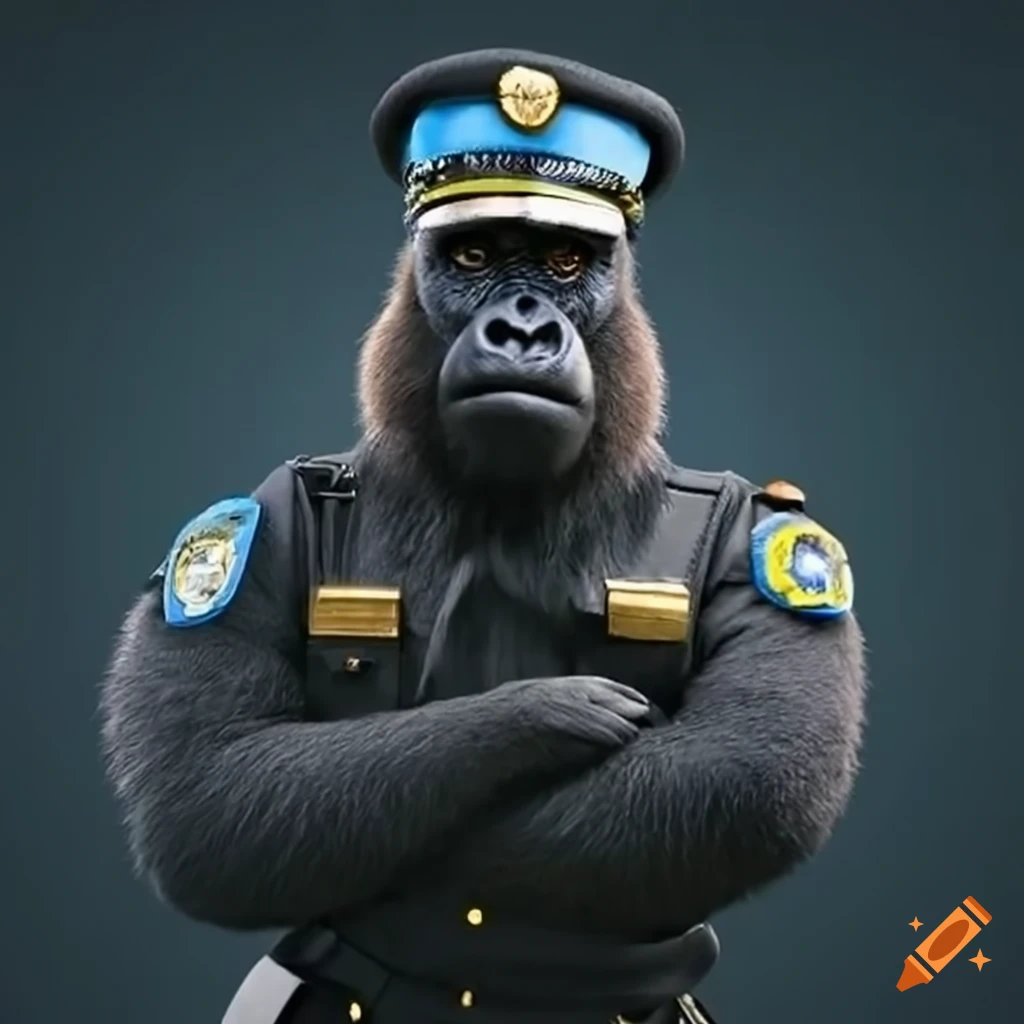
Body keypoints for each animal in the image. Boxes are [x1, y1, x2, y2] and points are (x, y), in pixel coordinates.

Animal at [99, 48, 868, 1024]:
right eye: (472, 255)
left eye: (568, 259)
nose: (524, 325)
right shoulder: (253, 521)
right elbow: (213, 791)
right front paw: (543, 711)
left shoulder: (774, 531)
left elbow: (748, 770)